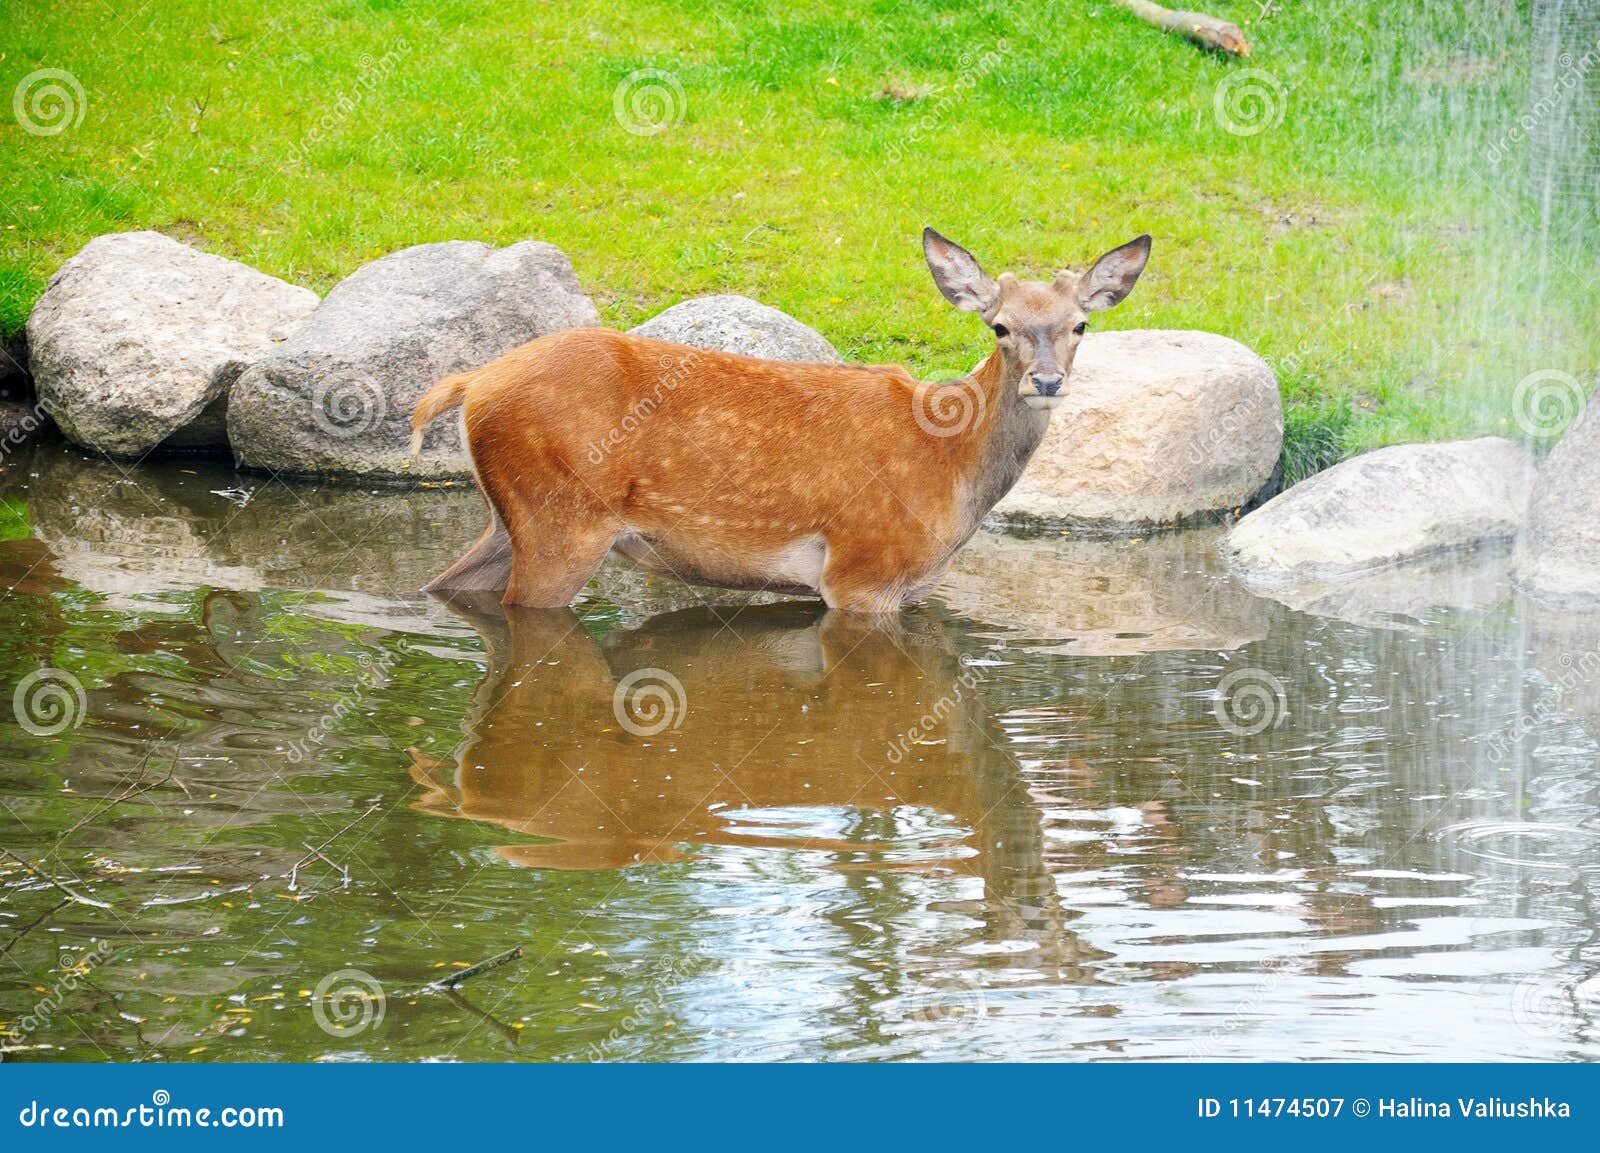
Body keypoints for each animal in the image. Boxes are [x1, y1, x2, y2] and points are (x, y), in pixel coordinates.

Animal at [409, 228, 1151, 611]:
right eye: (1000, 326)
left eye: (1080, 324)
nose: (1046, 379)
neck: (952, 469)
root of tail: (471, 384)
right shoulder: (863, 568)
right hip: (563, 519)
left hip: (510, 518)